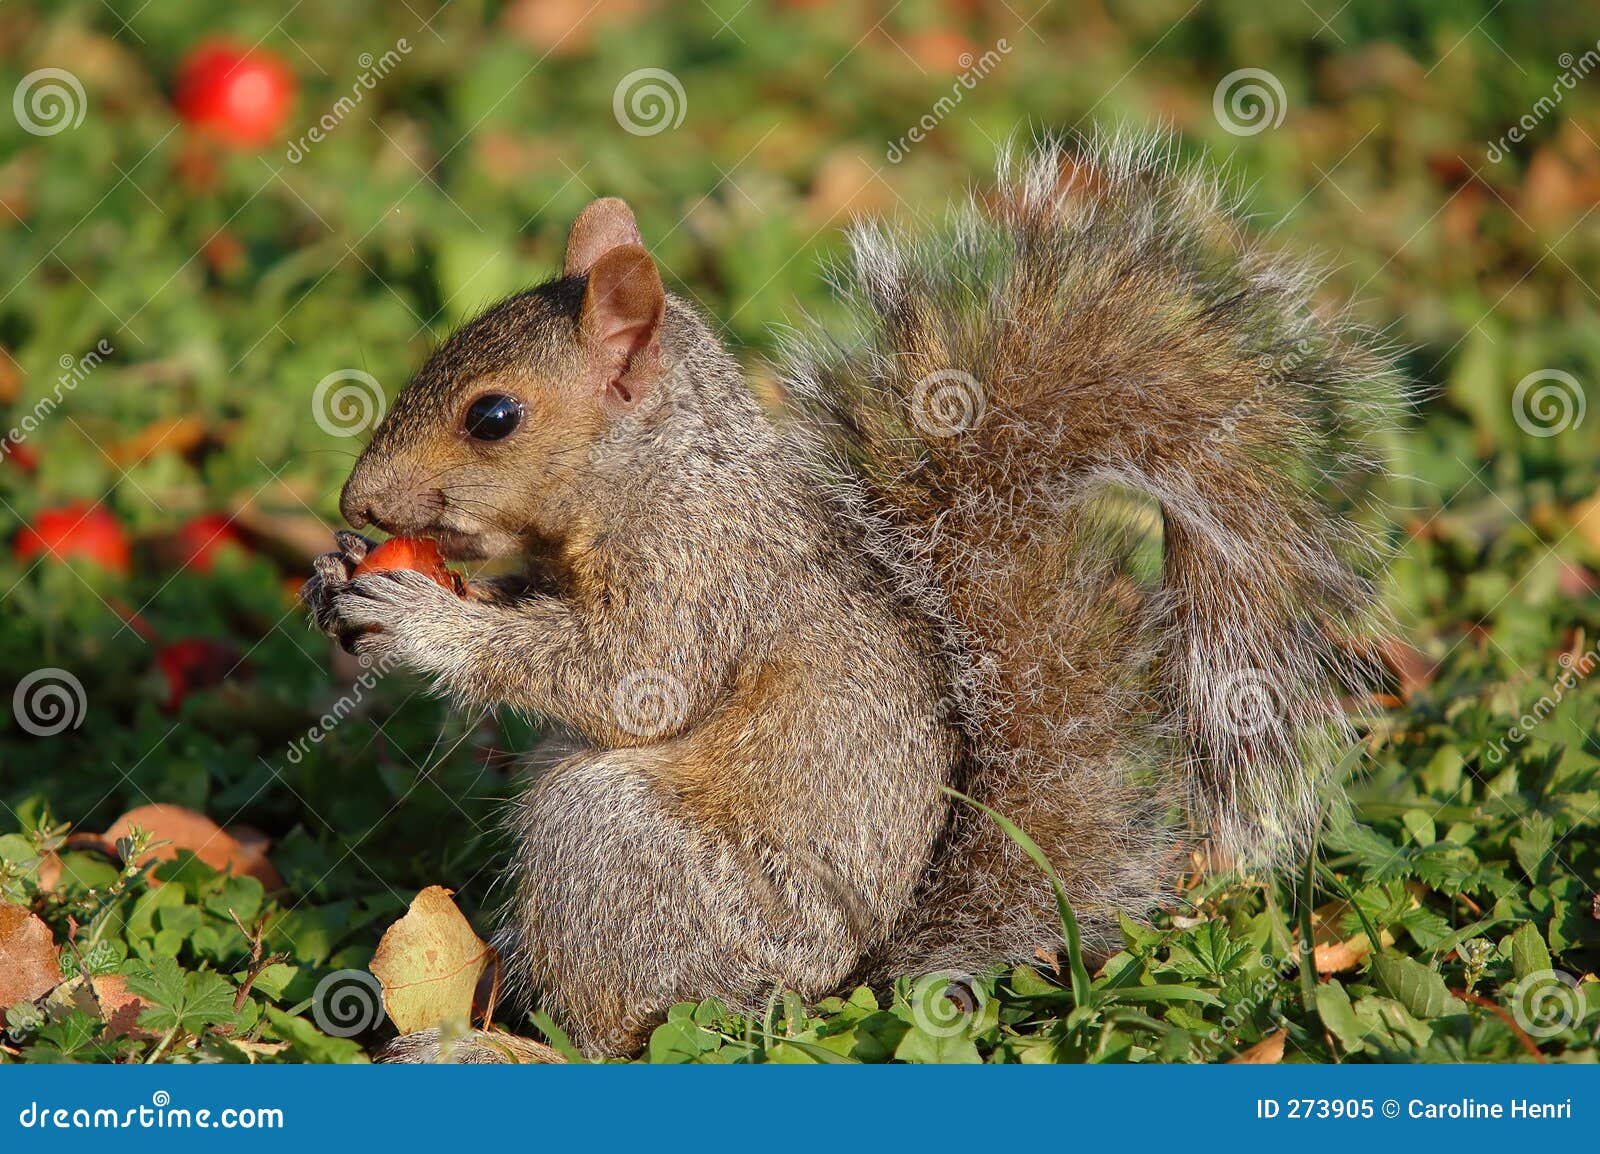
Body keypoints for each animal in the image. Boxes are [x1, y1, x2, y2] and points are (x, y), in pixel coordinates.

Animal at [301, 131, 1397, 1060]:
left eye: (493, 417)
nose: (356, 501)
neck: (665, 468)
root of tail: (841, 986)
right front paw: (336, 576)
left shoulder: (696, 573)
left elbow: (625, 680)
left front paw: (420, 617)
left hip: (624, 851)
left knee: (616, 1037)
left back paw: (502, 1043)